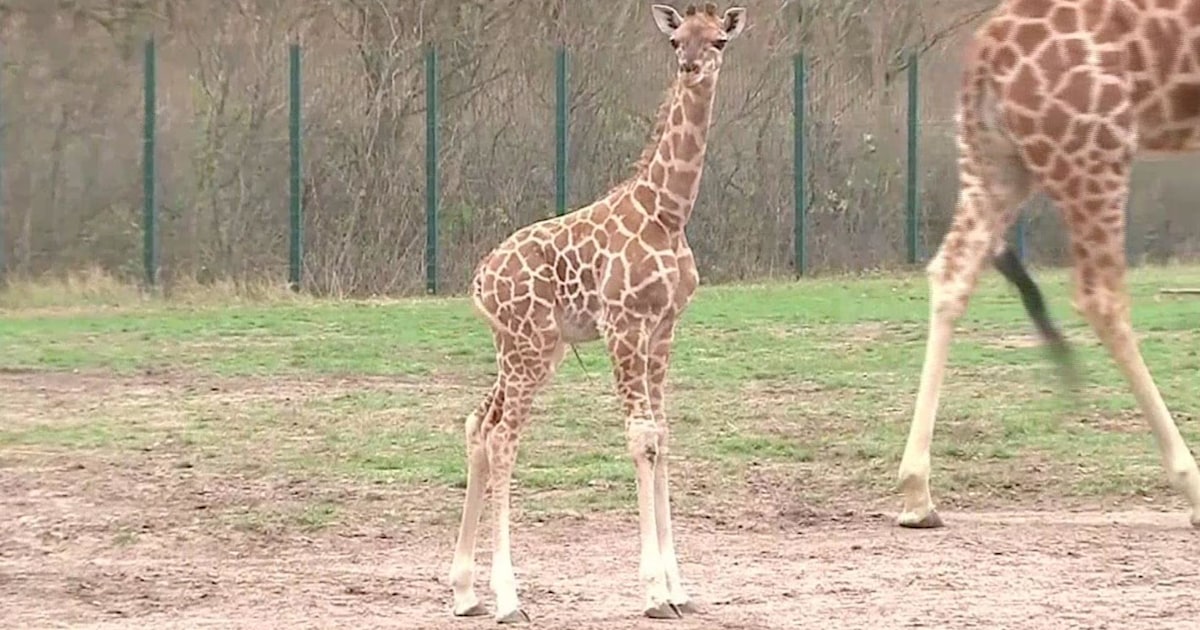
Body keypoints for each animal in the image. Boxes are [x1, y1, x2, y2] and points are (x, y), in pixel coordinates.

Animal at [446, 3, 746, 622]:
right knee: (503, 437)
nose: (690, 67)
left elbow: (662, 434)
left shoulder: (664, 328)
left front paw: (679, 588)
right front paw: (654, 592)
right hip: (530, 346)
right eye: (676, 40)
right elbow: (640, 439)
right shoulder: (623, 325)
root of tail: (480, 280)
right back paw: (508, 599)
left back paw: (464, 592)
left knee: (478, 423)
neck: (667, 213)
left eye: (719, 40)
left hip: (527, 348)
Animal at [897, 0, 1200, 530]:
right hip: (1093, 147)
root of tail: (984, 52)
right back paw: (1194, 489)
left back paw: (918, 496)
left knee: (953, 268)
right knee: (1100, 296)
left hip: (1000, 159)